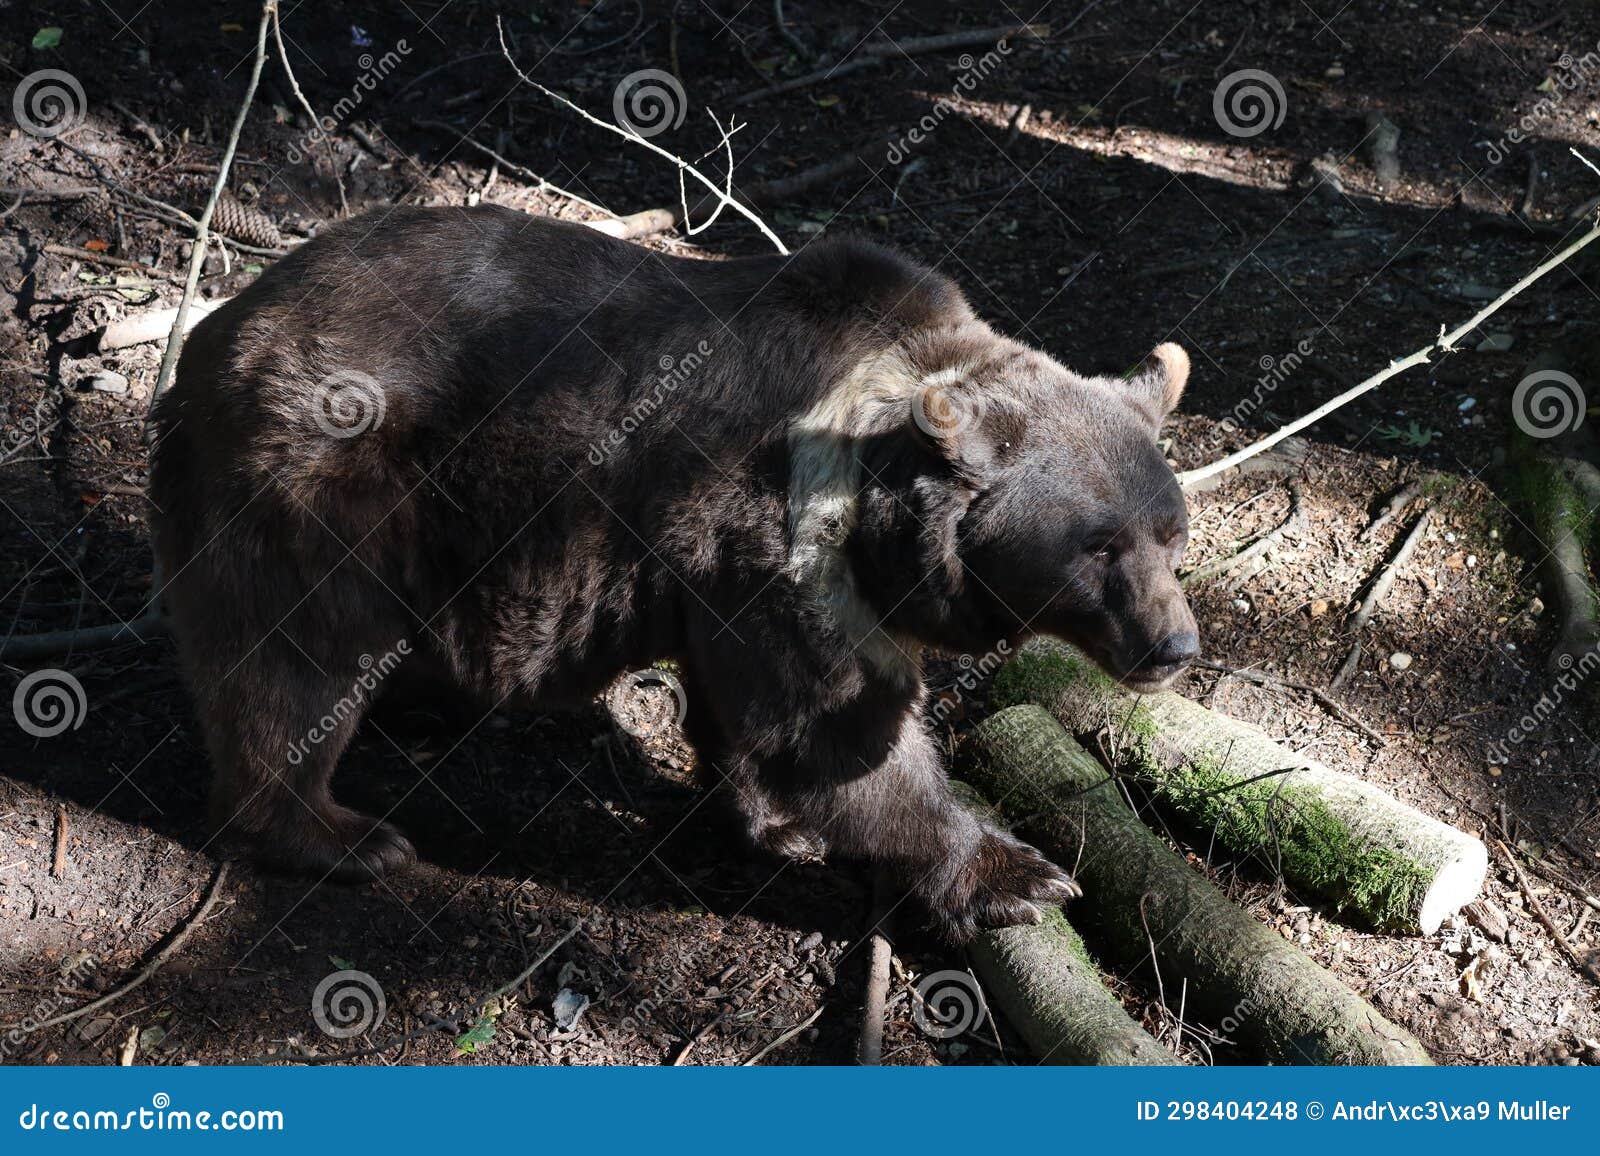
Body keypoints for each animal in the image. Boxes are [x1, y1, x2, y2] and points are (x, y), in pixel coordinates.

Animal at [149, 205, 1198, 942]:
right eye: (1097, 545)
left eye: (1171, 534)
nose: (1175, 645)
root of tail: (221, 322)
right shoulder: (778, 541)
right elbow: (835, 730)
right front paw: (1019, 874)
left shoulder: (729, 574)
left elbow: (746, 711)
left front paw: (771, 823)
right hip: (324, 479)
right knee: (293, 658)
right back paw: (343, 834)